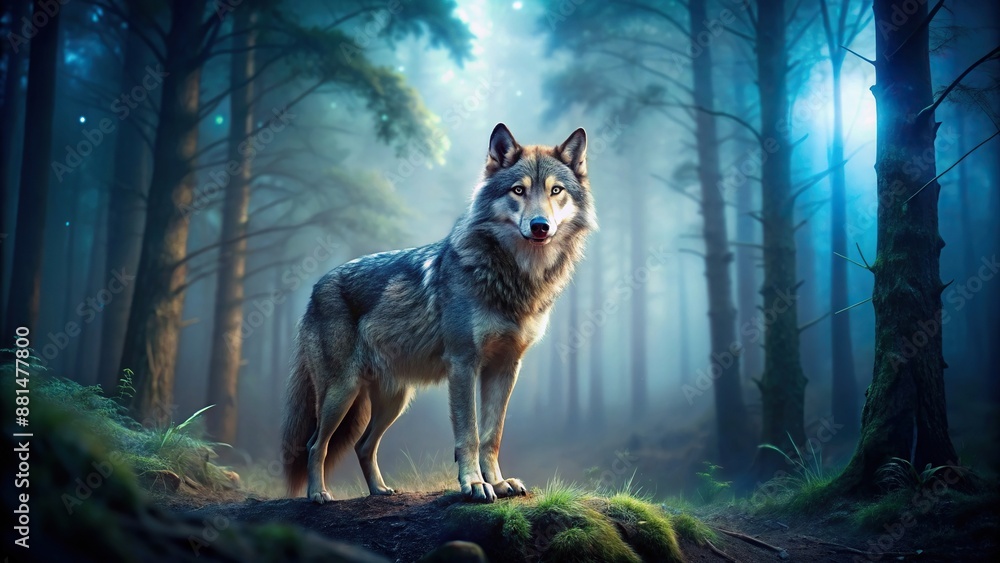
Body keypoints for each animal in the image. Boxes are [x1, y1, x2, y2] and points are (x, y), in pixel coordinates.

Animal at [281, 123, 596, 504]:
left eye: (555, 190)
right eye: (518, 190)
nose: (539, 226)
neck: (513, 278)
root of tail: (316, 286)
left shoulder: (505, 367)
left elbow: (493, 435)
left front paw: (498, 483)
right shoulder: (463, 364)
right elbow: (469, 434)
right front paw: (474, 484)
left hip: (393, 401)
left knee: (363, 445)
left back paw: (379, 491)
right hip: (341, 393)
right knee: (316, 445)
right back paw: (318, 494)